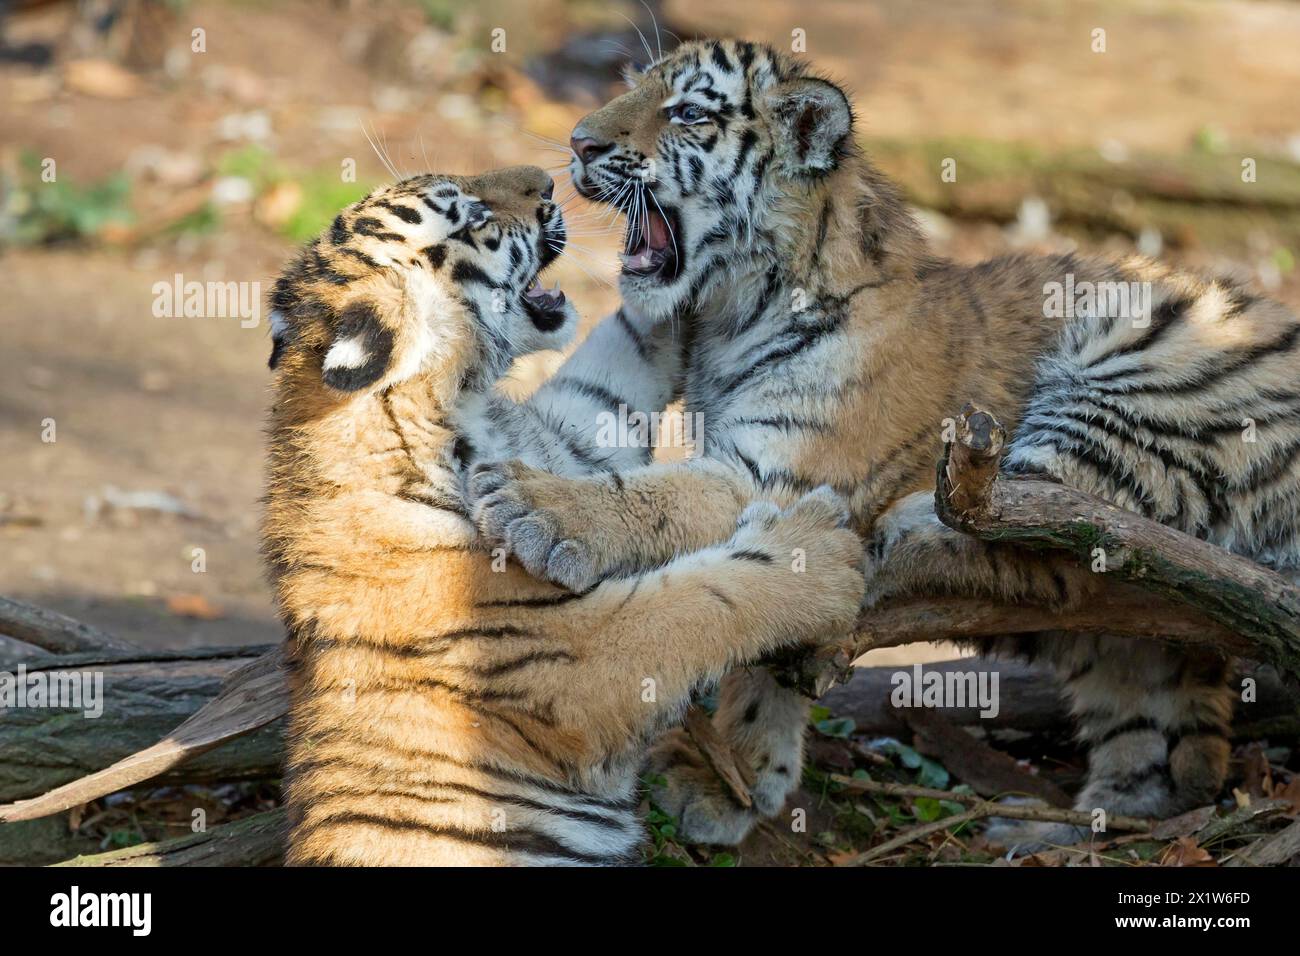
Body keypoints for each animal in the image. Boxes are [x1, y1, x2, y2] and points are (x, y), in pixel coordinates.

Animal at [260, 163, 866, 865]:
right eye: (471, 217)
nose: (547, 184)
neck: (461, 409)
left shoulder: (571, 440)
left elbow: (616, 363)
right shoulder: (577, 656)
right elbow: (706, 599)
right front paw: (820, 552)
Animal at [466, 39, 1300, 849]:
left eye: (690, 112)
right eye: (633, 85)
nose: (578, 142)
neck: (734, 312)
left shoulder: (774, 473)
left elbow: (660, 502)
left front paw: (538, 508)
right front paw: (739, 778)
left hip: (1131, 369)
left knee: (1055, 541)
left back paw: (898, 539)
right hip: (1135, 641)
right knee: (1164, 726)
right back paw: (1066, 824)